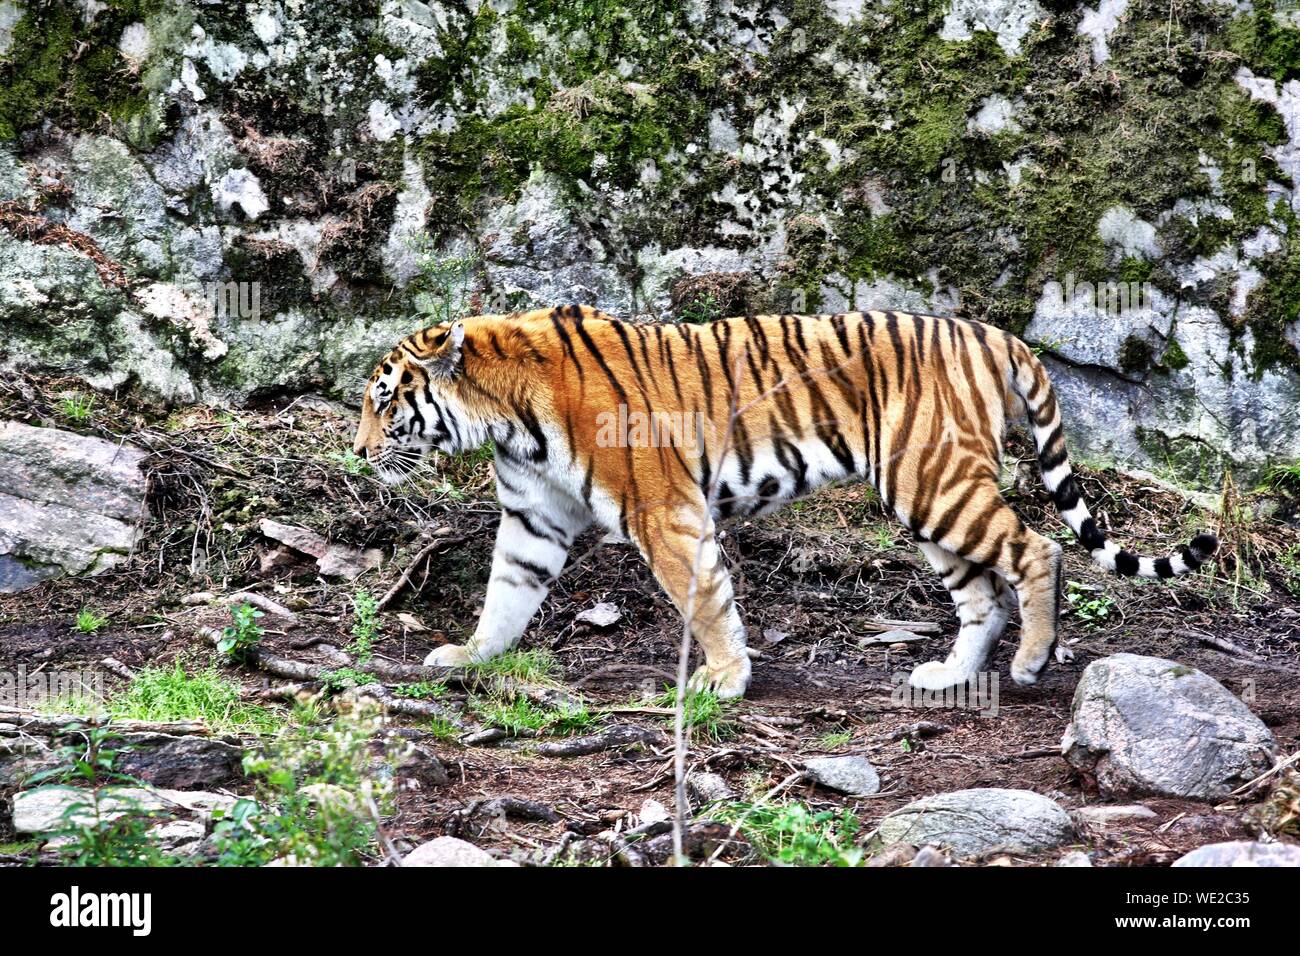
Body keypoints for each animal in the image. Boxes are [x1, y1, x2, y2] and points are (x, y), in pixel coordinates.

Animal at [351, 304, 1218, 699]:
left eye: (384, 401)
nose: (357, 451)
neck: (505, 418)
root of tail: (993, 333)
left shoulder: (665, 513)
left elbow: (703, 600)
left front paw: (725, 679)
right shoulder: (534, 518)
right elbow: (505, 593)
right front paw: (470, 656)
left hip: (935, 483)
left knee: (1038, 548)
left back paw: (1034, 660)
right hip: (926, 497)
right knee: (982, 594)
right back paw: (947, 675)